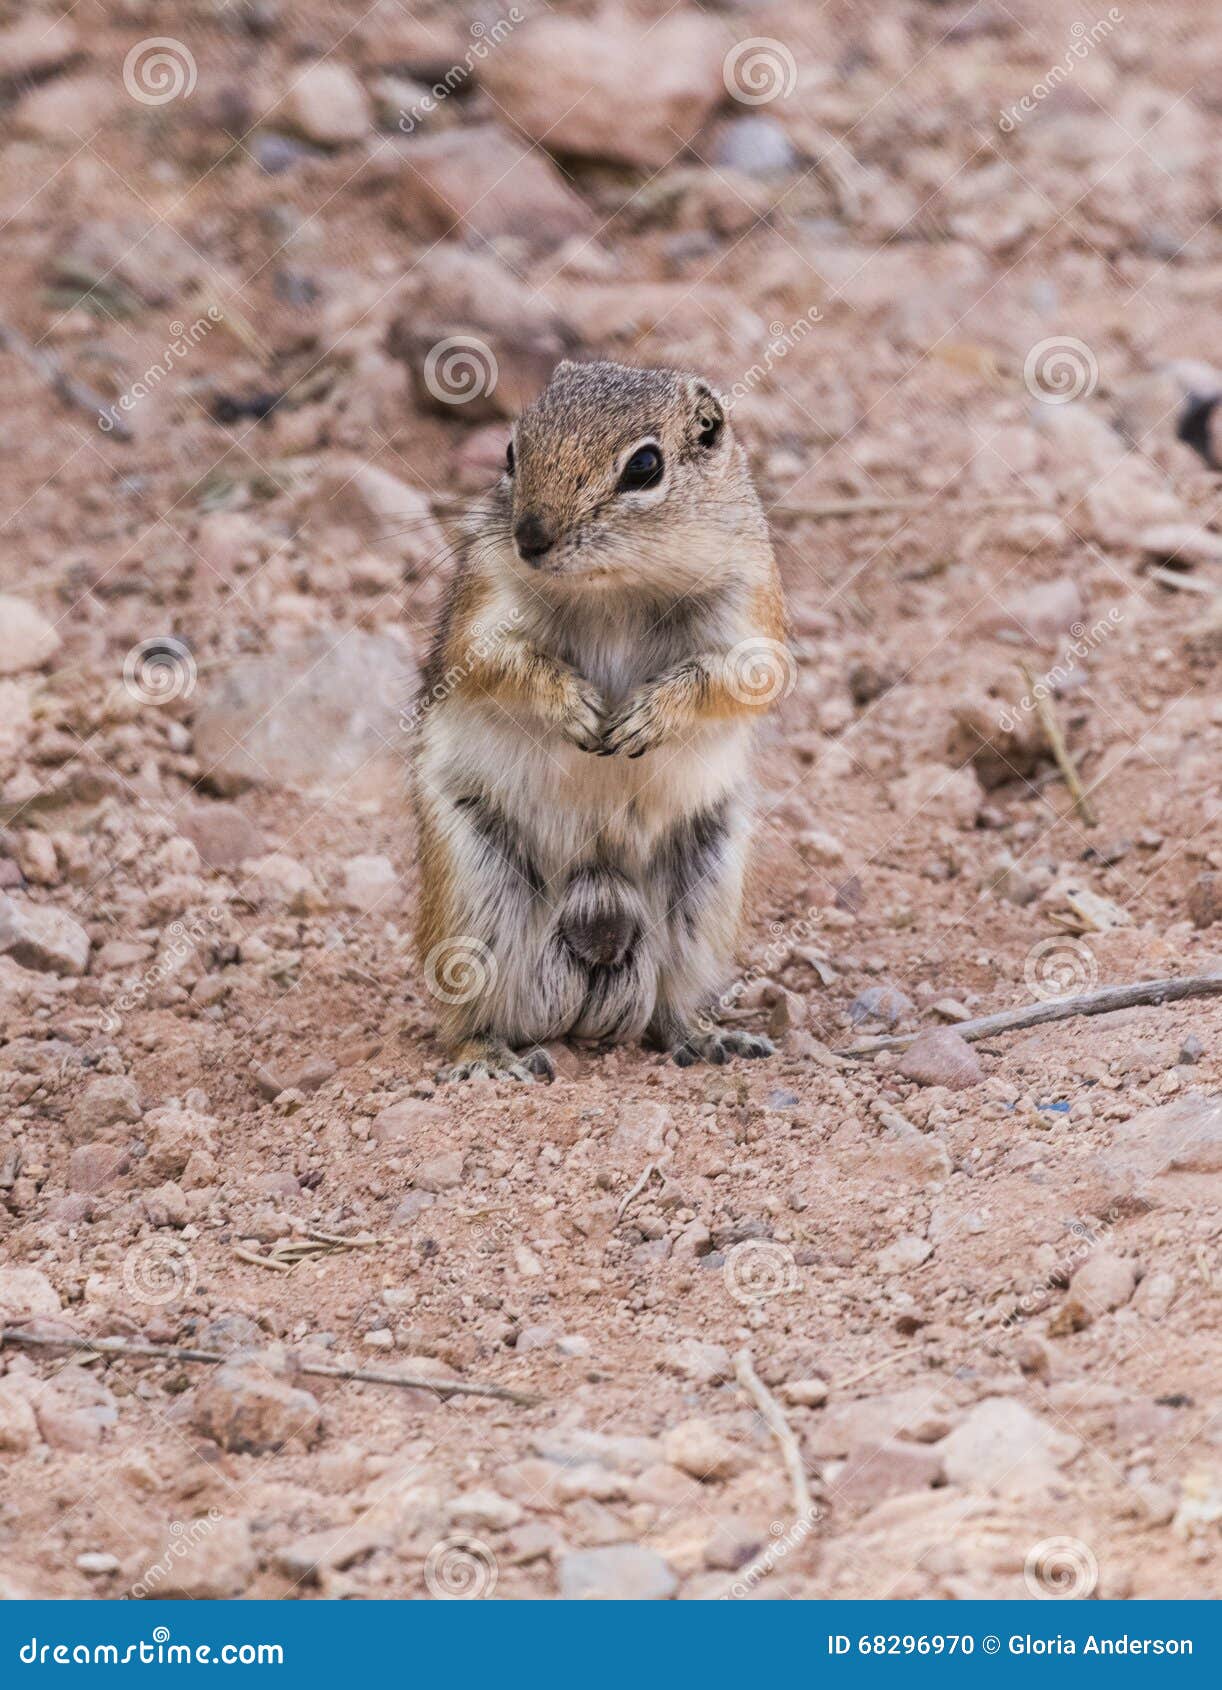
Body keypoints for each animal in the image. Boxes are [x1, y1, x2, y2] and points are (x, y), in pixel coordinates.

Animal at [412, 359, 790, 1082]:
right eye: (511, 452)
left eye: (644, 466)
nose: (530, 537)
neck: (615, 586)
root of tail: (599, 916)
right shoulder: (482, 606)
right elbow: (493, 663)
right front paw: (581, 711)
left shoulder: (753, 617)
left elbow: (742, 682)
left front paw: (642, 718)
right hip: (475, 899)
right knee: (467, 1013)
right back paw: (489, 1057)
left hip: (703, 895)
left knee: (671, 1000)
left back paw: (707, 1037)